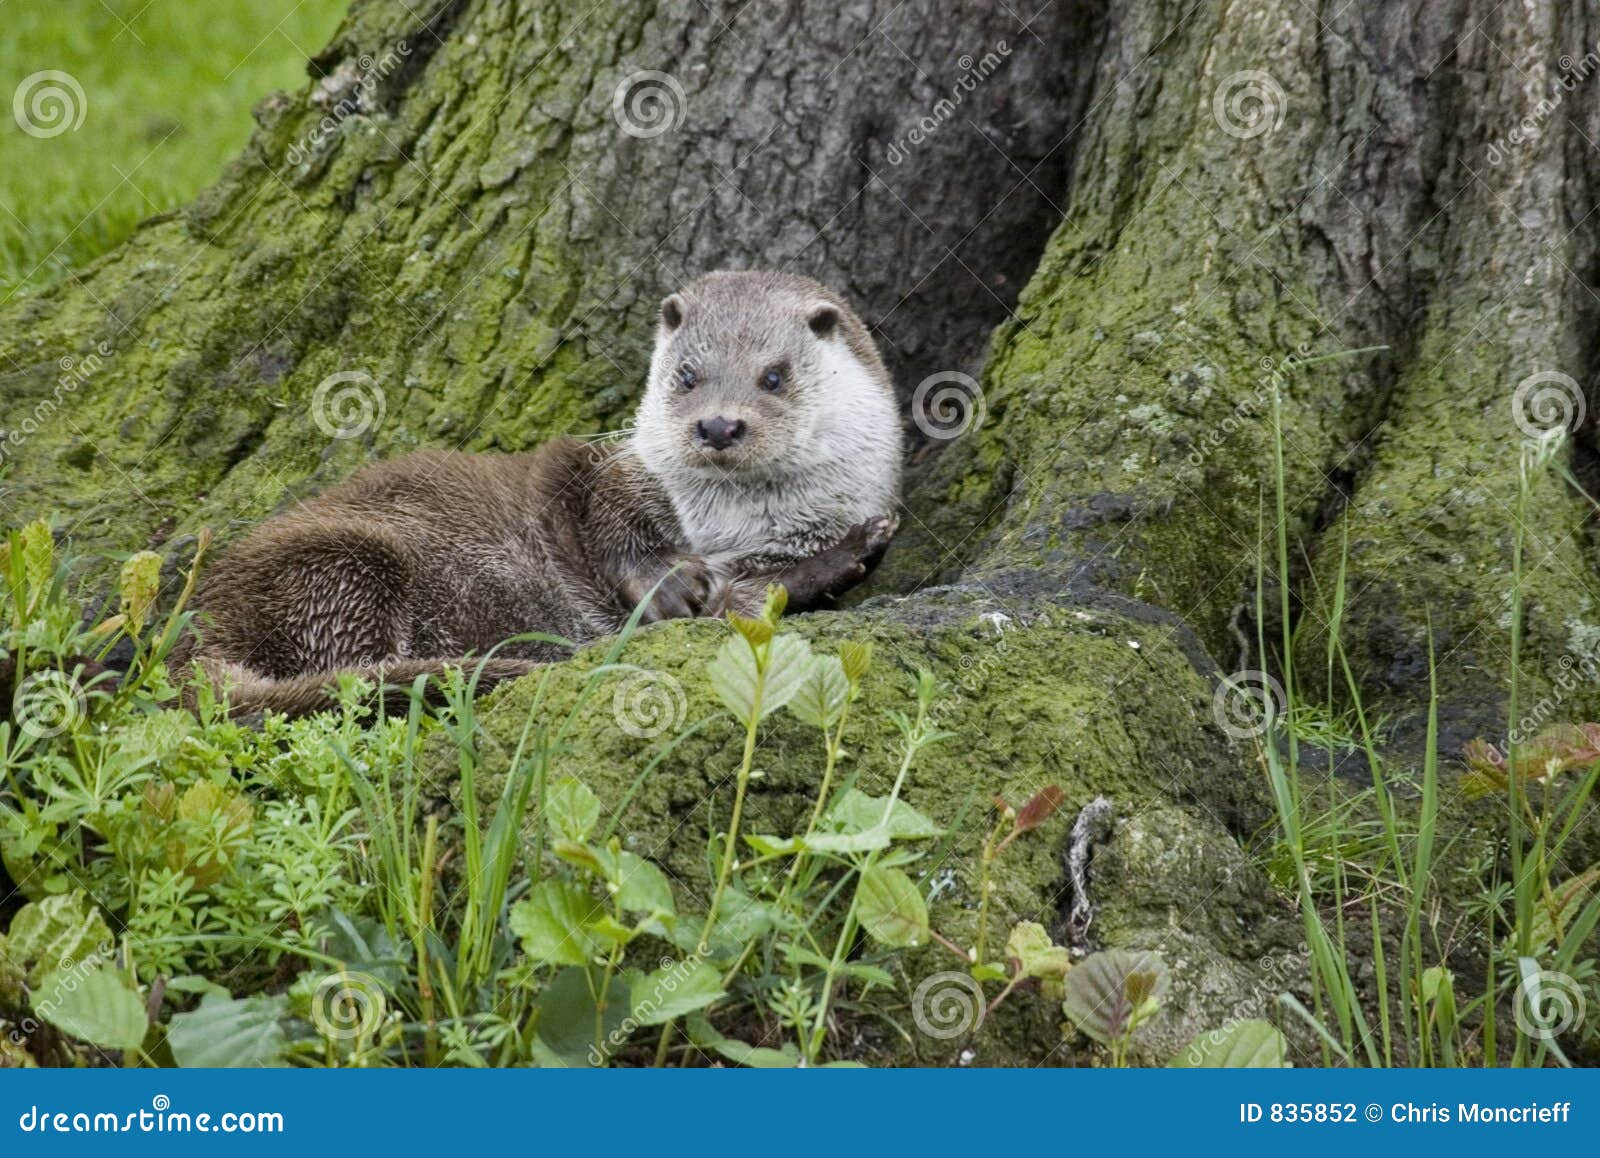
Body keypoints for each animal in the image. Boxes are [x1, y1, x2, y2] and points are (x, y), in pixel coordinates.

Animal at [179, 271, 901, 717]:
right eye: (688, 376)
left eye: (773, 376)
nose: (719, 425)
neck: (727, 527)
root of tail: (206, 623)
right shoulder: (609, 471)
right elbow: (611, 526)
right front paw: (667, 582)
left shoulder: (777, 549)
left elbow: (753, 598)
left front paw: (846, 553)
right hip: (344, 560)